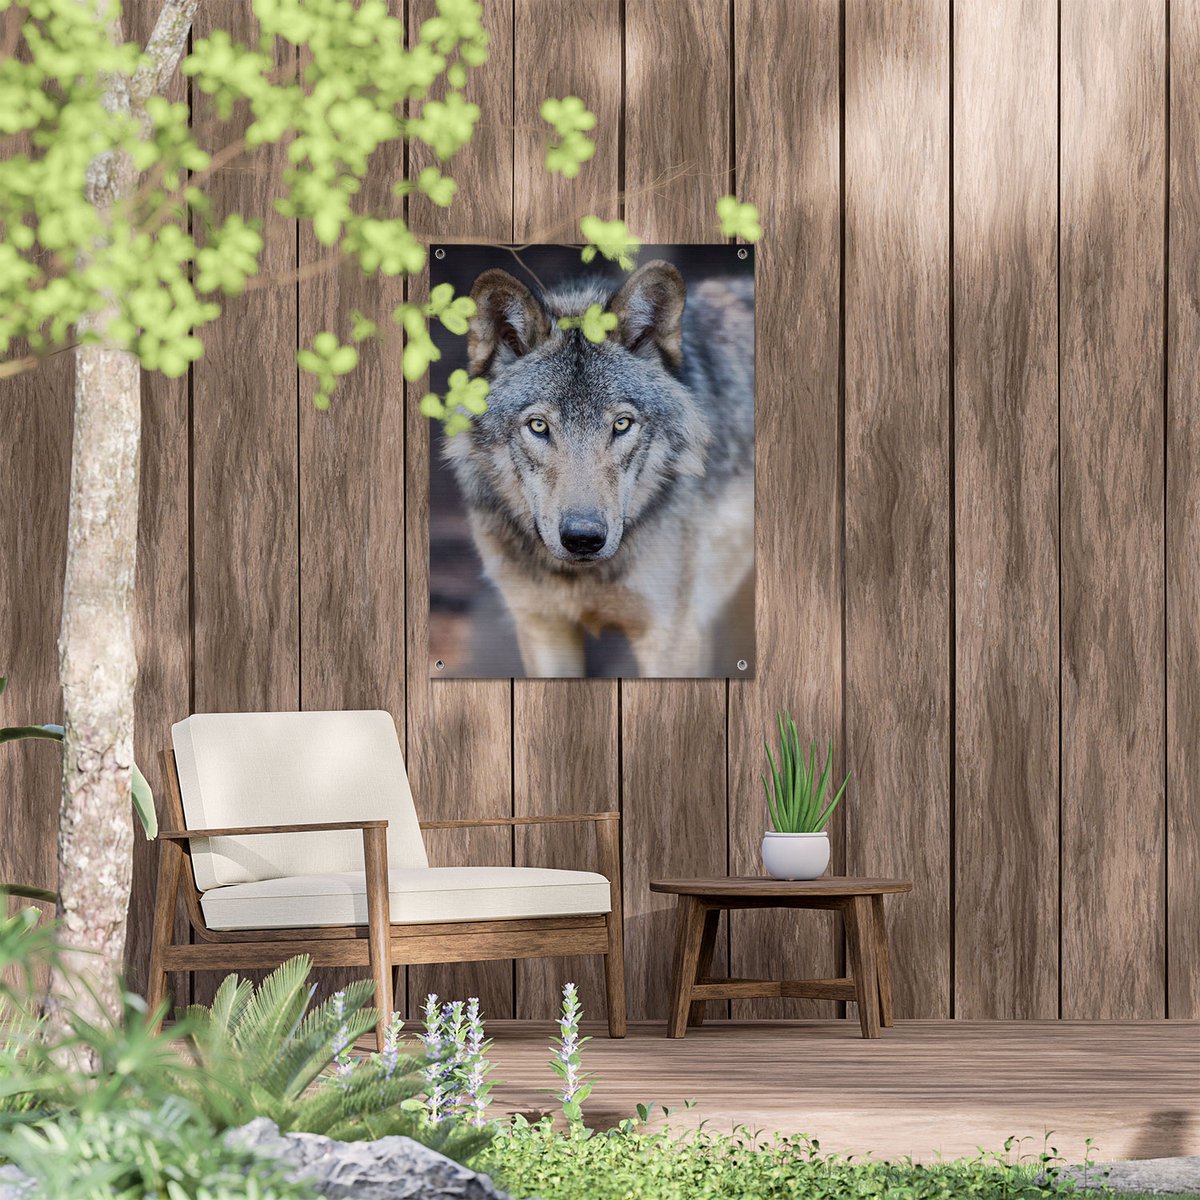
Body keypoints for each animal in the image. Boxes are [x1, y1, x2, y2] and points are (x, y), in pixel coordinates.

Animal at [442, 257, 754, 678]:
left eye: (621, 424)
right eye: (538, 426)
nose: (583, 539)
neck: (581, 577)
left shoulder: (671, 636)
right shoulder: (543, 628)